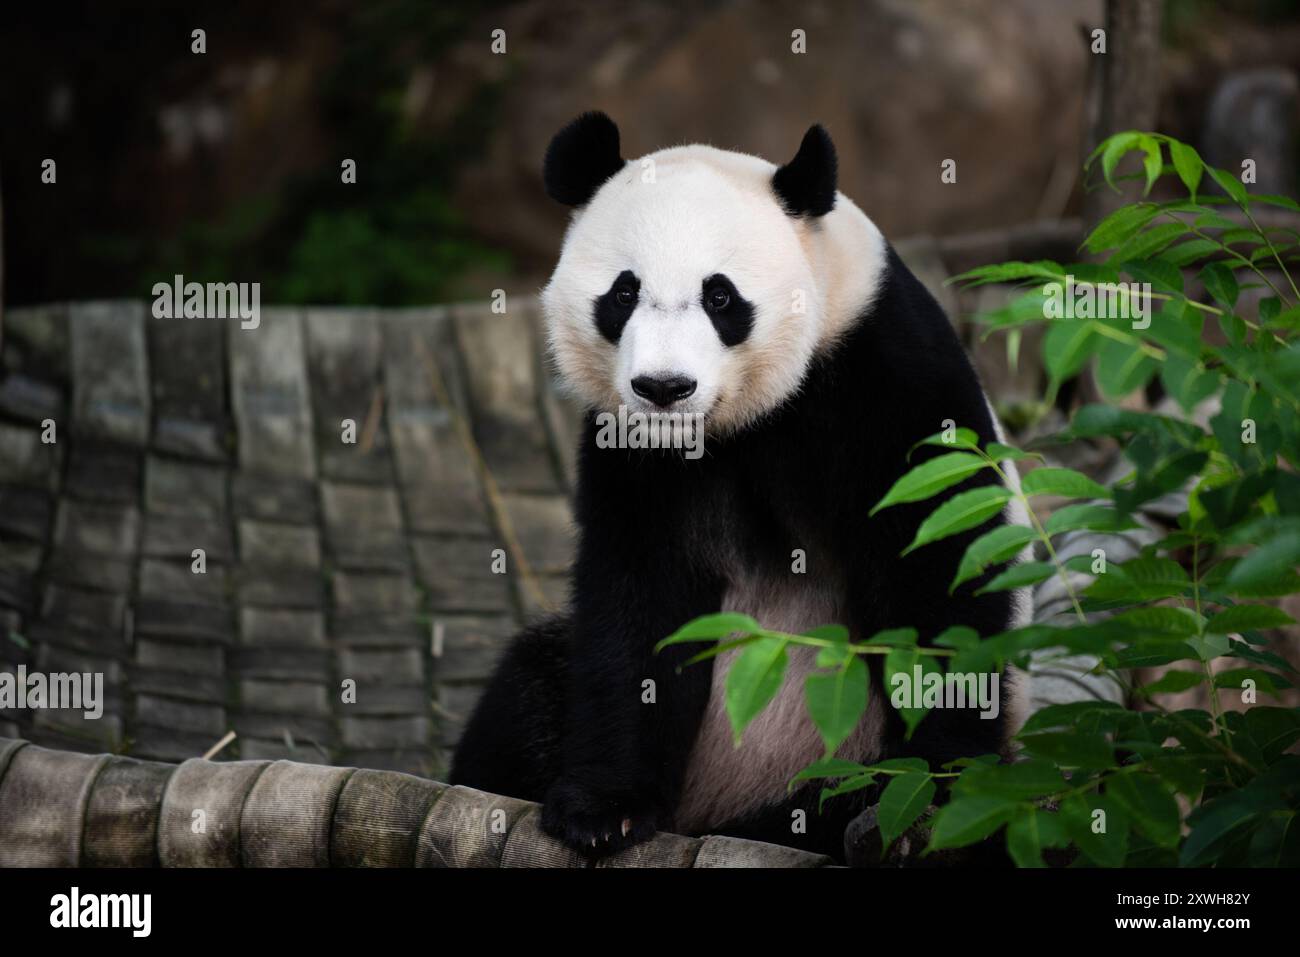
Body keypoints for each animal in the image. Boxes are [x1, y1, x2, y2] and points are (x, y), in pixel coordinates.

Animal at [450, 112, 1030, 862]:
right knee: (527, 690)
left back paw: (849, 812)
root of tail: (711, 814)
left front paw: (926, 799)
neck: (741, 421)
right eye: (623, 293)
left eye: (720, 296)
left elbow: (938, 566)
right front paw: (605, 810)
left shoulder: (884, 371)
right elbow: (638, 607)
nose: (664, 387)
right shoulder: (632, 454)